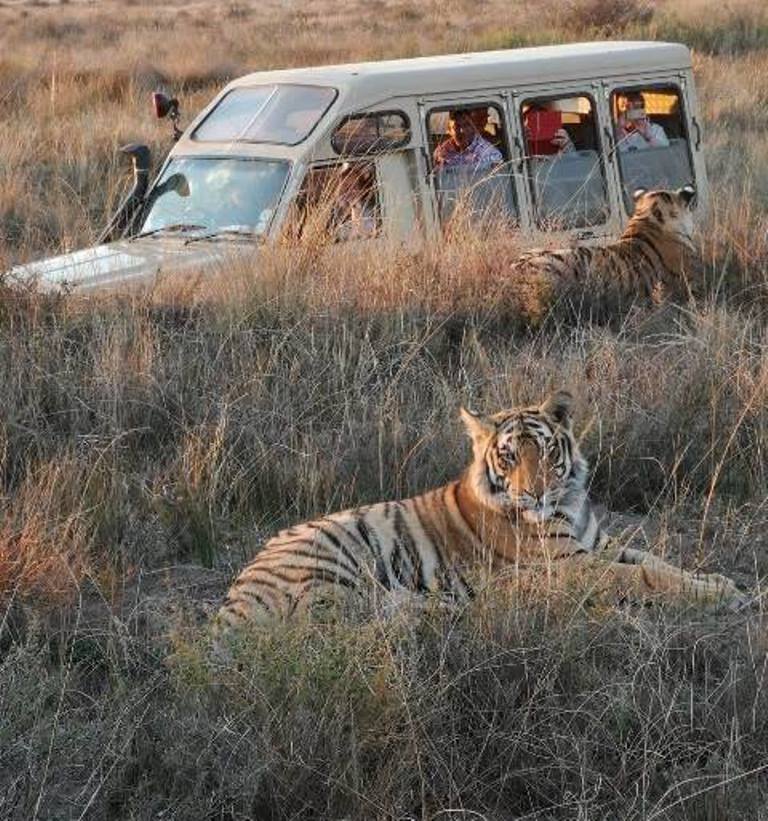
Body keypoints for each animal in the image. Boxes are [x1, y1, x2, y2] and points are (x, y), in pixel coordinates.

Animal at [216, 390, 747, 631]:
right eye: (509, 457)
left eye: (545, 451)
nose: (535, 495)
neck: (569, 502)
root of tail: (232, 597)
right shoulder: (570, 566)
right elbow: (644, 577)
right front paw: (722, 594)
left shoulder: (601, 545)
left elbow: (657, 562)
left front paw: (716, 580)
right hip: (333, 563)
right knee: (348, 622)